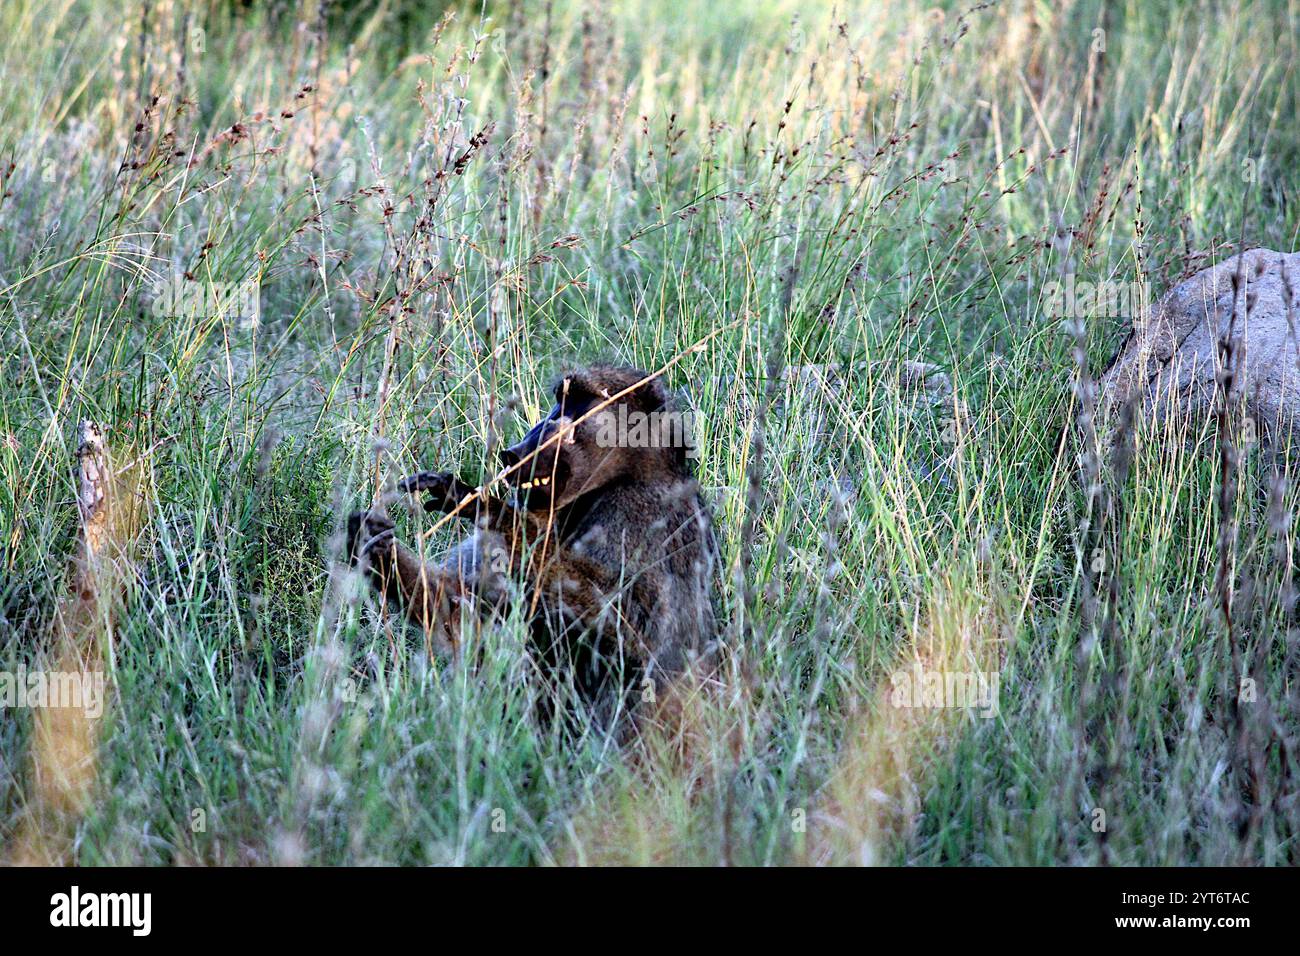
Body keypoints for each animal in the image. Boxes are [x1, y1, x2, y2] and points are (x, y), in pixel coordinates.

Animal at [347, 364, 719, 729]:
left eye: (578, 401)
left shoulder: (641, 511)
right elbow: (457, 612)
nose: (516, 450)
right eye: (560, 400)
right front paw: (373, 544)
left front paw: (485, 506)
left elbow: (633, 632)